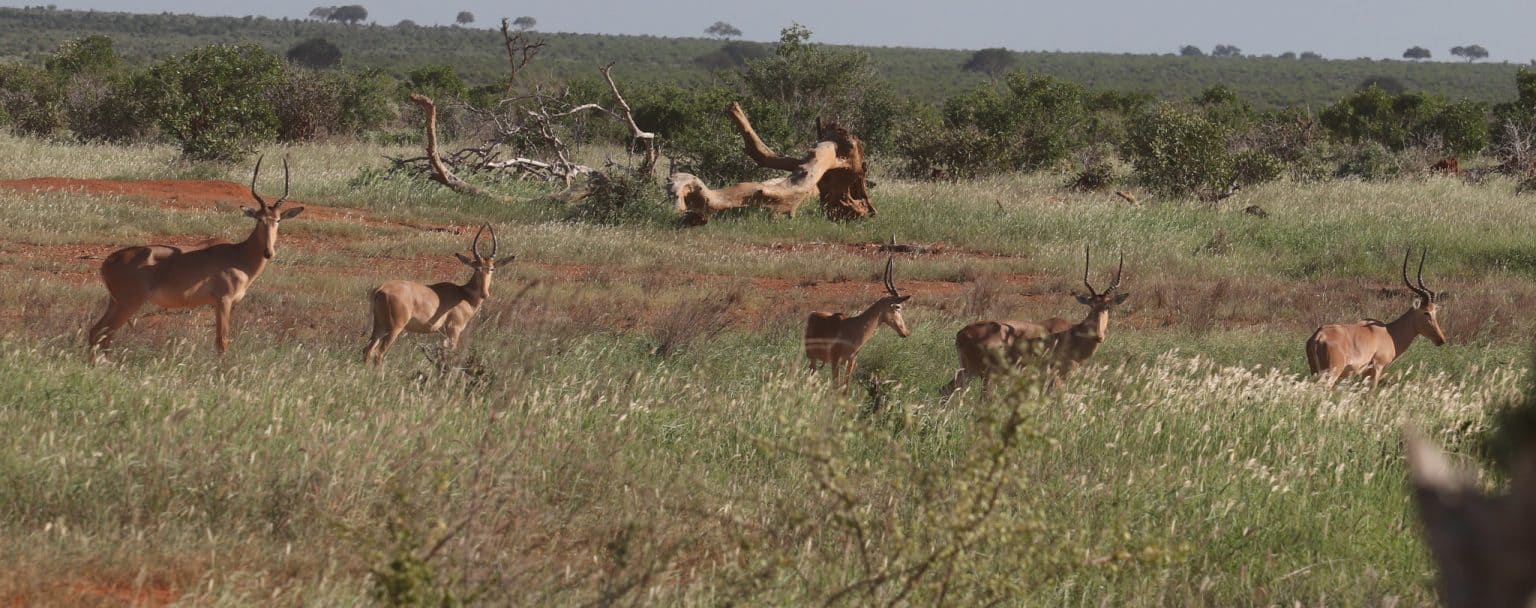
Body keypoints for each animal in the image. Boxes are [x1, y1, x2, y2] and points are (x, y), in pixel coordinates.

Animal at [87, 156, 303, 358]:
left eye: (278, 220)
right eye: (259, 218)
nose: (268, 252)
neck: (238, 255)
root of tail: (109, 261)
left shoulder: (228, 304)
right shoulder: (223, 301)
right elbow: (222, 342)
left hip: (115, 302)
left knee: (97, 333)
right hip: (128, 304)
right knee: (100, 333)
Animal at [362, 224, 515, 365]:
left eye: (492, 268)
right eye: (476, 268)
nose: (485, 294)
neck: (463, 294)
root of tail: (380, 288)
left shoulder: (443, 335)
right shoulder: (454, 331)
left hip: (380, 326)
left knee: (368, 349)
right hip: (395, 328)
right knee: (379, 353)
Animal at [803, 257, 912, 390]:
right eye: (898, 307)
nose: (905, 332)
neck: (852, 326)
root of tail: (813, 314)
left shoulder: (851, 361)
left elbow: (845, 388)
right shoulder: (835, 362)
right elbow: (836, 387)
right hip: (812, 358)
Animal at [943, 247, 1128, 397]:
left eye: (1108, 306)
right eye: (1091, 304)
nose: (1099, 336)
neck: (1070, 334)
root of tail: (961, 333)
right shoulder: (1056, 377)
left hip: (969, 372)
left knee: (947, 389)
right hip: (982, 373)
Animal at [1305, 250, 1446, 388]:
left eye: (1435, 311)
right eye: (1426, 313)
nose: (1441, 339)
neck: (1388, 332)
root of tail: (1318, 336)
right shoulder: (1377, 368)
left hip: (1315, 372)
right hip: (1331, 374)